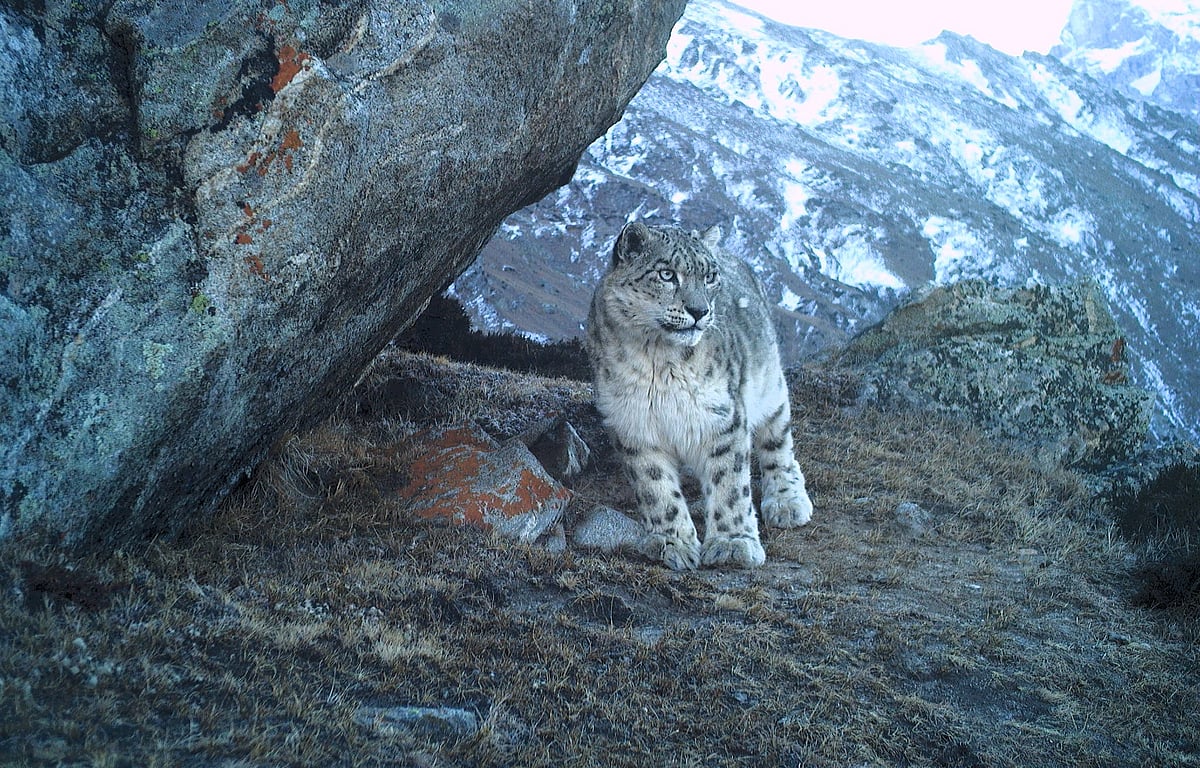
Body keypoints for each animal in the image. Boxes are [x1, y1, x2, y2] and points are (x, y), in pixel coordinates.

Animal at [585, 221, 813, 570]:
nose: (699, 310)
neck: (658, 363)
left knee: (778, 442)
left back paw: (787, 501)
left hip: (770, 387)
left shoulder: (723, 418)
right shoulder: (634, 423)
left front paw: (733, 544)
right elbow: (656, 488)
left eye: (709, 276)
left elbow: (730, 484)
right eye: (667, 274)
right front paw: (673, 543)